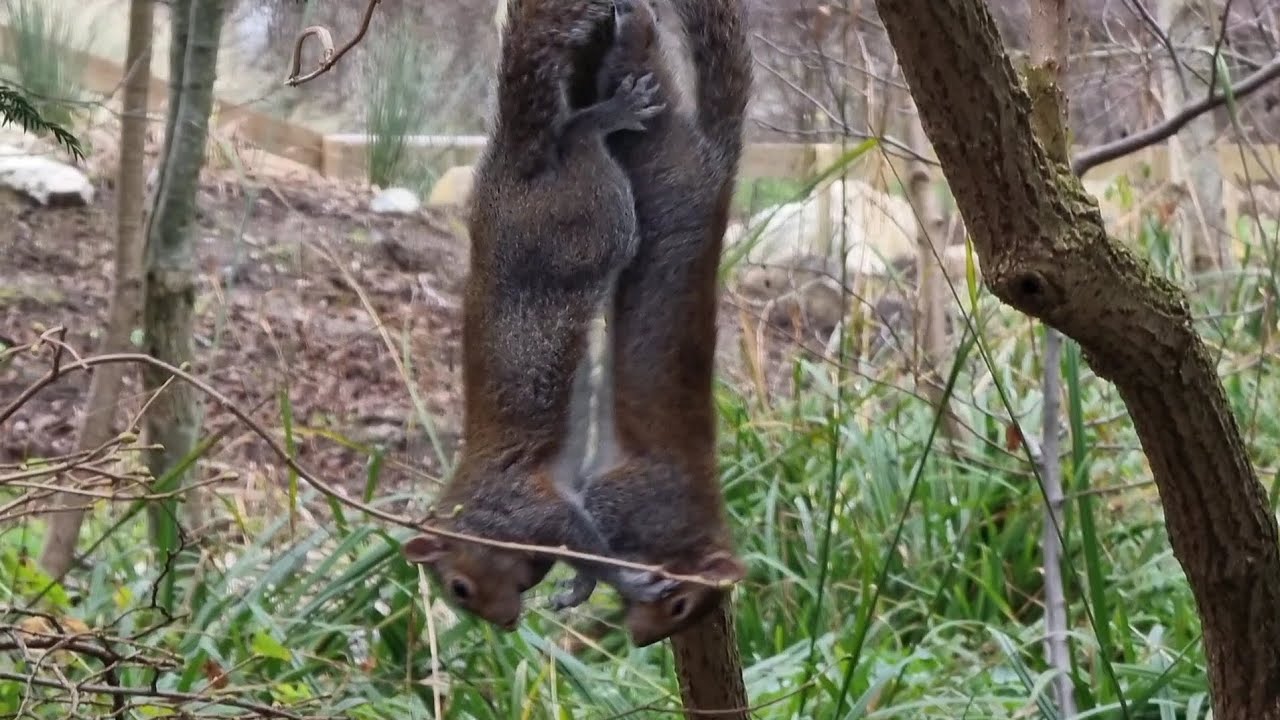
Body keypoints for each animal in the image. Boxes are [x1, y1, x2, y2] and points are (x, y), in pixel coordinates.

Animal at [401, 0, 678, 631]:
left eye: (459, 588)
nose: (505, 623)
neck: (481, 517)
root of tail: (512, 172)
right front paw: (577, 588)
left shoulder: (531, 510)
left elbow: (587, 544)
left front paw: (620, 581)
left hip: (591, 220)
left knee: (577, 136)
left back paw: (610, 115)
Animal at [550, 0, 755, 646]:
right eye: (679, 602)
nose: (643, 639)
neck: (689, 518)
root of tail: (717, 170)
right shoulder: (628, 496)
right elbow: (592, 533)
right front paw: (585, 583)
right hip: (651, 136)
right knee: (639, 69)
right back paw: (634, 33)